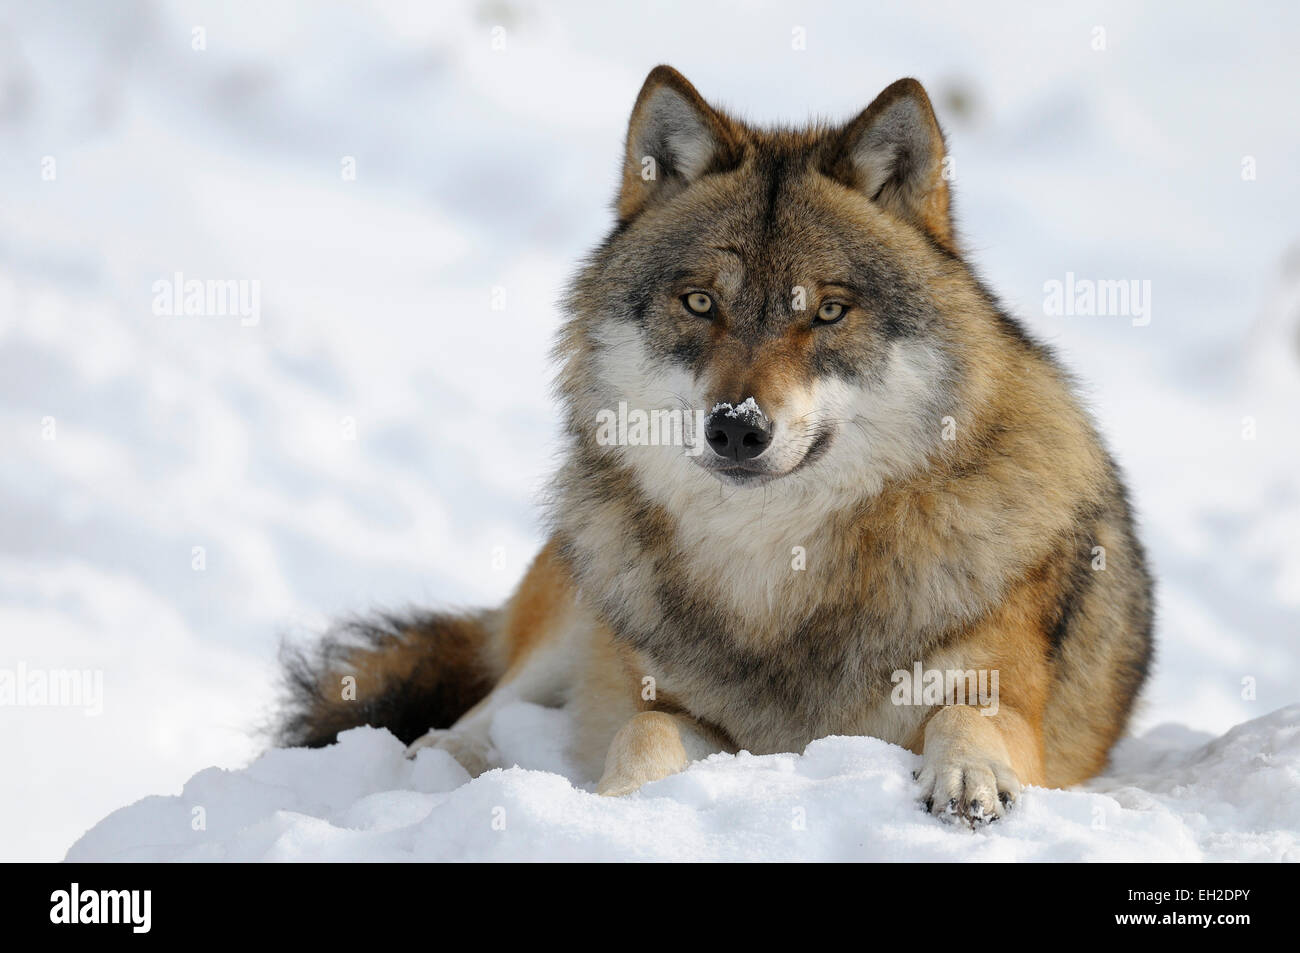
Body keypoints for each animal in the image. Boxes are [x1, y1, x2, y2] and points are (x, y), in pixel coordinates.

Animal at [277, 66, 1154, 826]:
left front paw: (969, 776)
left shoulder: (1006, 701)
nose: (736, 425)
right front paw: (619, 800)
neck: (774, 570)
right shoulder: (677, 705)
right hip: (583, 598)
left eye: (827, 311)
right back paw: (442, 766)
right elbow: (644, 728)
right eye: (700, 303)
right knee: (470, 714)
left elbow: (971, 719)